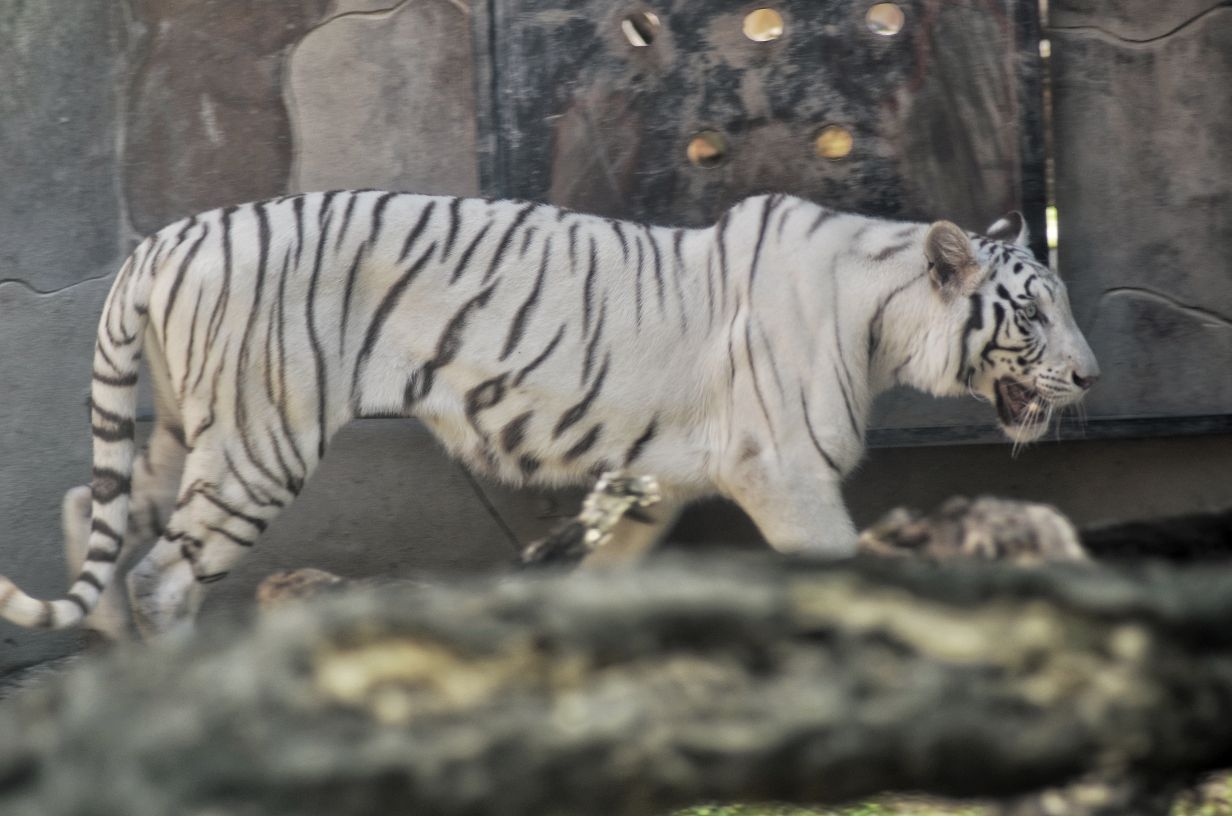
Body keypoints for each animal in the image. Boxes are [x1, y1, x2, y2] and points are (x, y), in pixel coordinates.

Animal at [0, 191, 1099, 639]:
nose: (1089, 378)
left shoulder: (655, 481)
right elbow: (846, 567)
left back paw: (110, 659)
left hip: (188, 430)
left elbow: (606, 578)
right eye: (1033, 311)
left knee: (91, 511)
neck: (879, 320)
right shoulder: (783, 473)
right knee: (161, 574)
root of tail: (162, 240)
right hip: (255, 445)